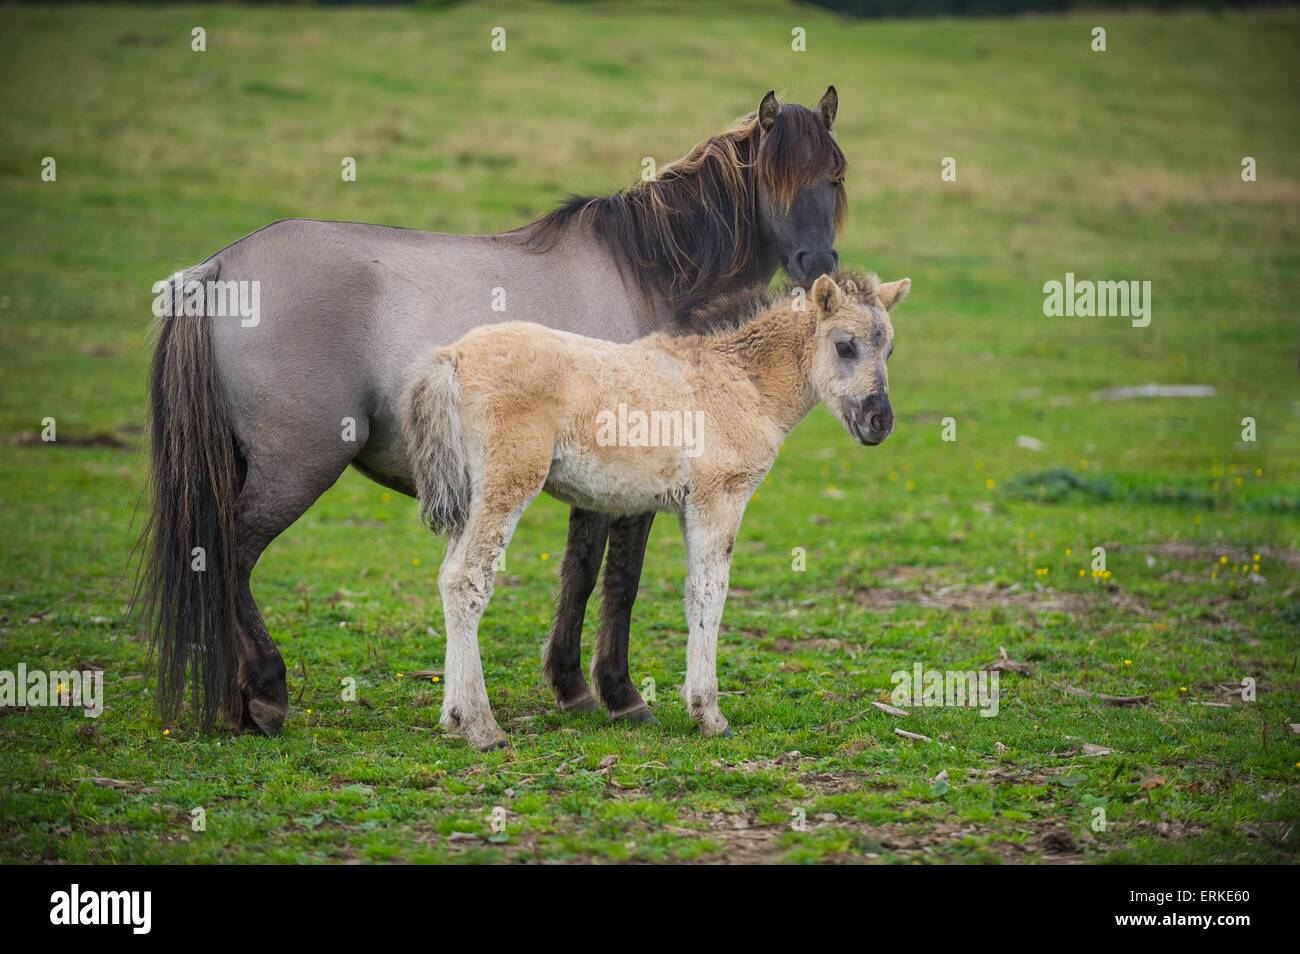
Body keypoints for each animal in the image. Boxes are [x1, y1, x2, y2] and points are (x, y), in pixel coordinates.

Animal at [137, 88, 849, 736]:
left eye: (835, 176)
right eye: (777, 177)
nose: (817, 266)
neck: (646, 276)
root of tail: (218, 269)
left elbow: (580, 575)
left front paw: (571, 686)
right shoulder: (632, 487)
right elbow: (616, 580)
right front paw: (618, 694)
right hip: (296, 469)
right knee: (229, 558)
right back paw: (266, 694)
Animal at [403, 270, 910, 749]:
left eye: (889, 350)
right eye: (845, 346)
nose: (880, 422)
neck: (738, 382)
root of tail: (453, 357)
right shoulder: (718, 498)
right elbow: (709, 592)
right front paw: (709, 715)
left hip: (470, 497)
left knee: (448, 577)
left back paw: (454, 717)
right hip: (507, 482)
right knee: (468, 580)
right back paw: (482, 727)